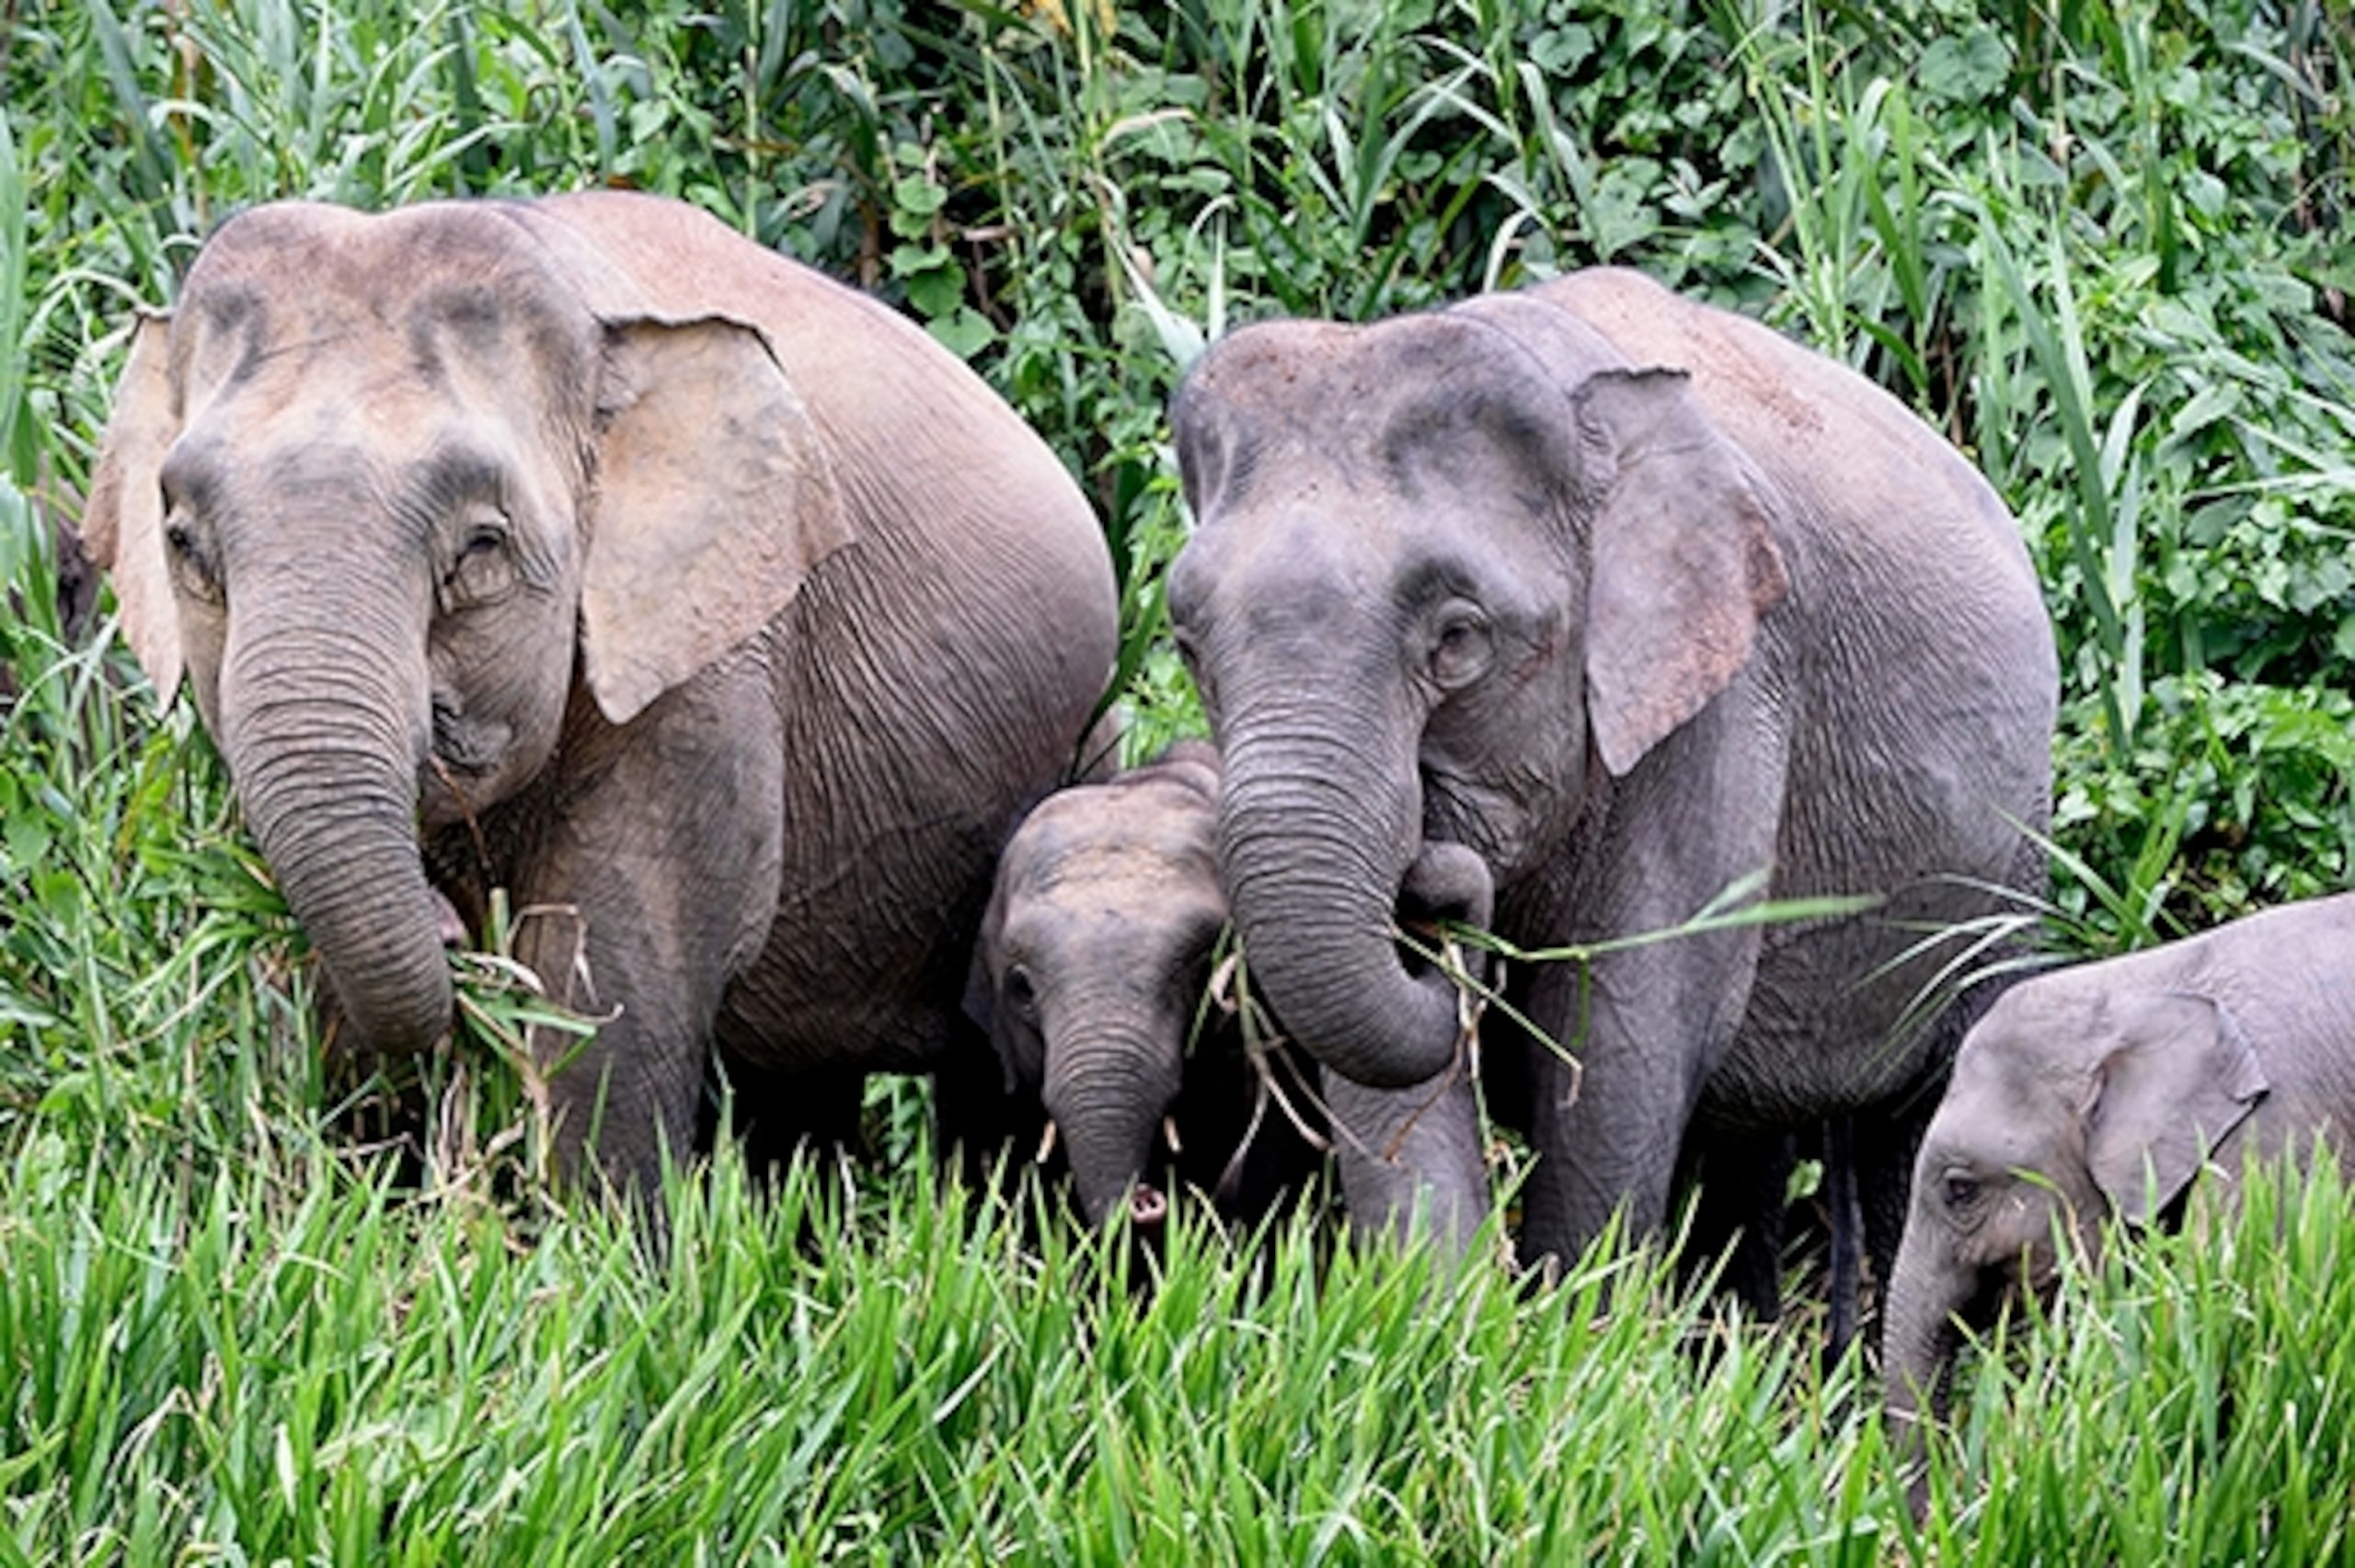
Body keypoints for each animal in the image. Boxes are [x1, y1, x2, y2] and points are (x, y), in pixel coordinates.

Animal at [1164, 266, 2058, 1298]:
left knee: (1915, 1119)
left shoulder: (1719, 700)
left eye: (1459, 639)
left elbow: (1621, 1052)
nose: (1434, 876)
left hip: (2003, 865)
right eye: (1187, 643)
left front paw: (1570, 1315)